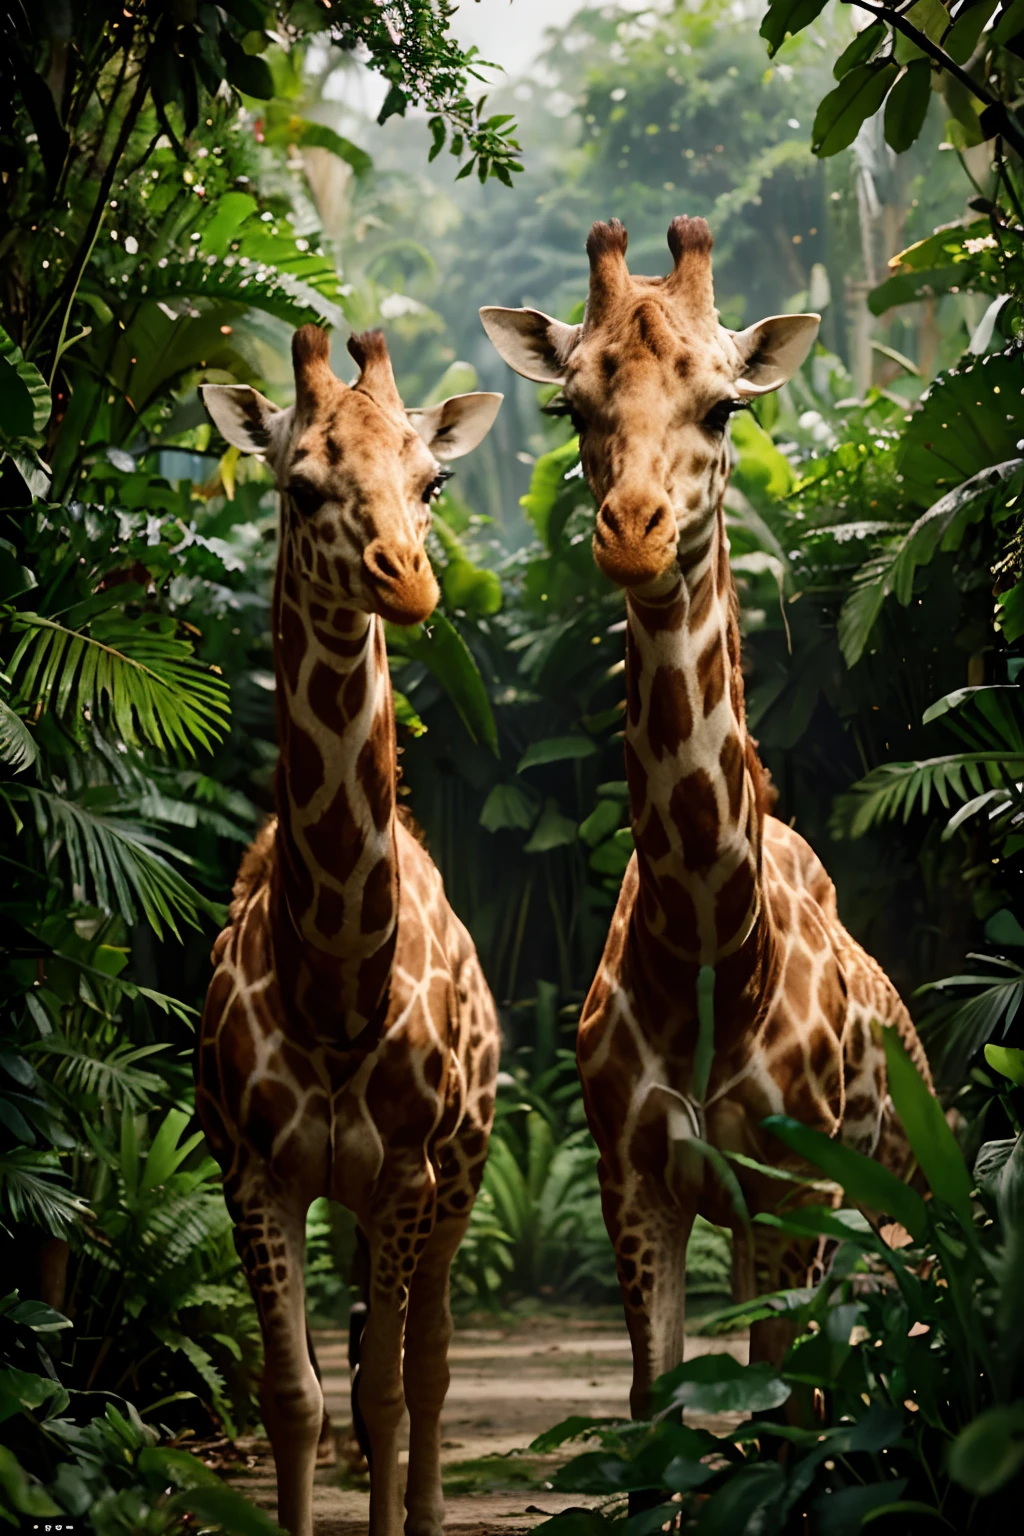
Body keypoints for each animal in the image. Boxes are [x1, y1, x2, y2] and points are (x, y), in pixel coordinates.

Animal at [197, 325, 502, 1536]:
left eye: (434, 483)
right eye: (299, 485)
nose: (406, 578)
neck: (333, 990)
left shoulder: (413, 1174)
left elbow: (383, 1392)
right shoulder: (253, 1175)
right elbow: (297, 1397)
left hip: (460, 1176)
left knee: (430, 1362)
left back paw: (426, 1510)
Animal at [480, 217, 933, 1418]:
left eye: (726, 405)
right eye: (571, 407)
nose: (634, 533)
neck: (708, 949)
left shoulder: (797, 1190)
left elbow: (792, 1412)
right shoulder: (635, 1183)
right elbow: (660, 1409)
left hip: (907, 1184)